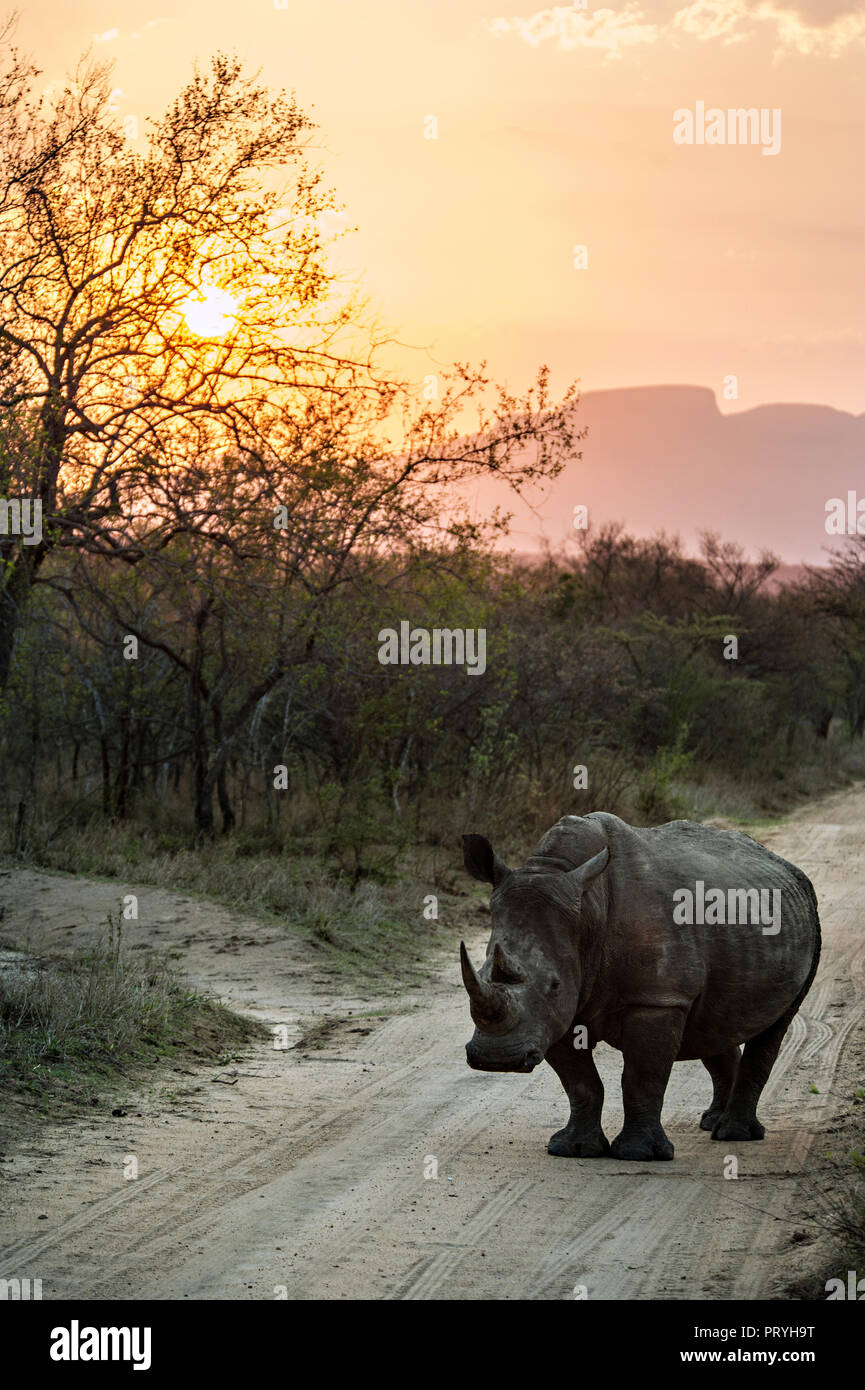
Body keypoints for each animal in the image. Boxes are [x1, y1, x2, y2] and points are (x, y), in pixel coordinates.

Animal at [459, 812, 820, 1161]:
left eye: (554, 985)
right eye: (481, 972)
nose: (496, 1058)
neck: (588, 912)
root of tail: (785, 866)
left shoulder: (656, 999)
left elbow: (641, 1078)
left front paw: (638, 1154)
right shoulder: (553, 1015)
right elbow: (580, 1082)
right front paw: (572, 1149)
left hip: (810, 915)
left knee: (773, 1028)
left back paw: (734, 1133)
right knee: (714, 1022)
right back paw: (713, 1122)